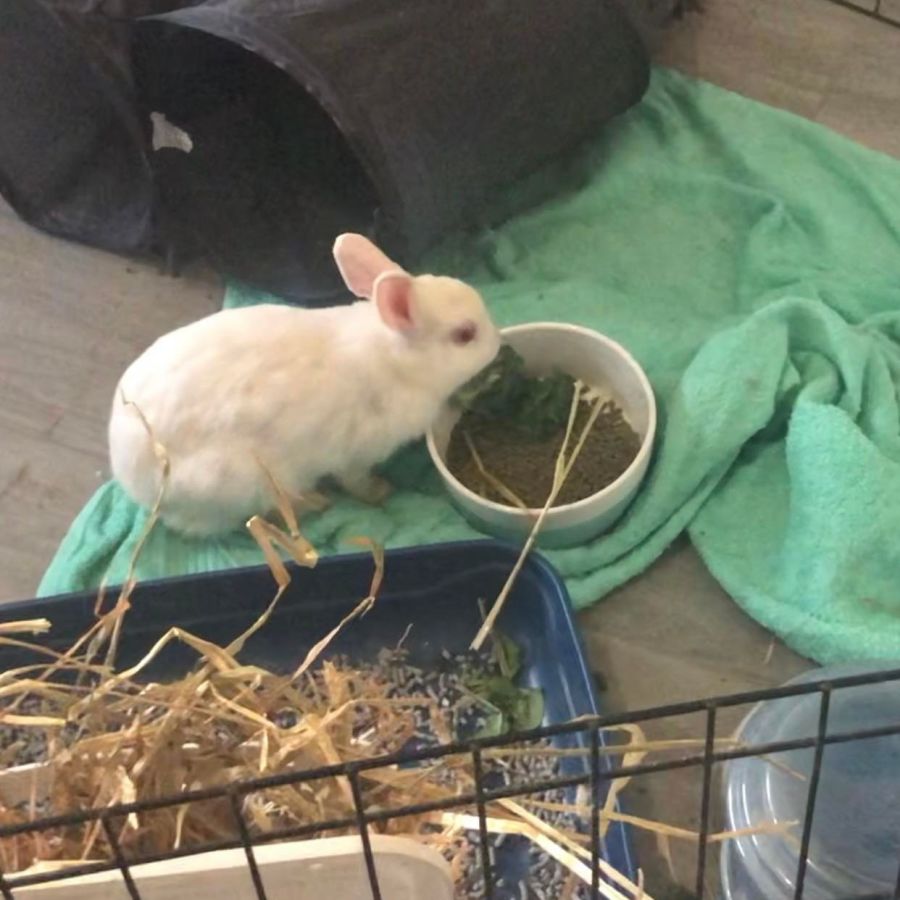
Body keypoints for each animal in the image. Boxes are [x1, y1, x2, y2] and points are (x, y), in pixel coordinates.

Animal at [108, 233, 501, 537]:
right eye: (465, 335)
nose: (497, 342)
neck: (394, 360)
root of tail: (135, 481)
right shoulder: (355, 454)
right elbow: (356, 481)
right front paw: (379, 492)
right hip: (242, 481)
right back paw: (314, 503)